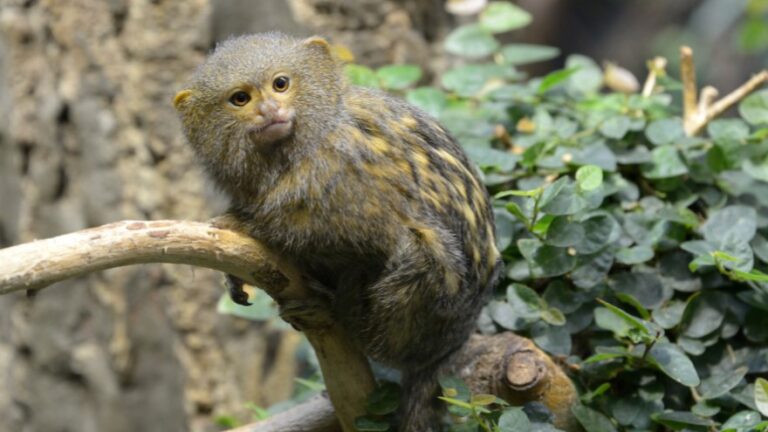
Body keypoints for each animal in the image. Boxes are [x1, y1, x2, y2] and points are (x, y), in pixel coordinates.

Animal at [173, 32, 501, 431]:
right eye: (240, 99)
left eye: (280, 84)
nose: (269, 110)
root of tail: (445, 351)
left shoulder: (343, 166)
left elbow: (357, 231)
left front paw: (240, 224)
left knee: (422, 252)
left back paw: (341, 314)